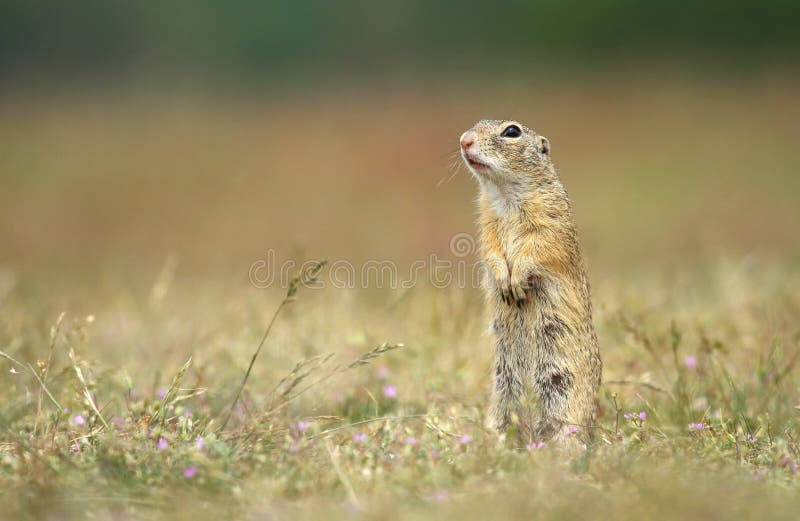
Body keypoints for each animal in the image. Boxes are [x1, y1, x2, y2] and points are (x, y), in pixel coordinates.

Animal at [459, 119, 601, 442]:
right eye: (475, 124)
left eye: (512, 131)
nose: (464, 140)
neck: (504, 195)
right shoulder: (486, 225)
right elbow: (491, 251)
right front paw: (504, 280)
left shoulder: (551, 222)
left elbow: (539, 249)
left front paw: (517, 281)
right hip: (503, 392)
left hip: (563, 389)